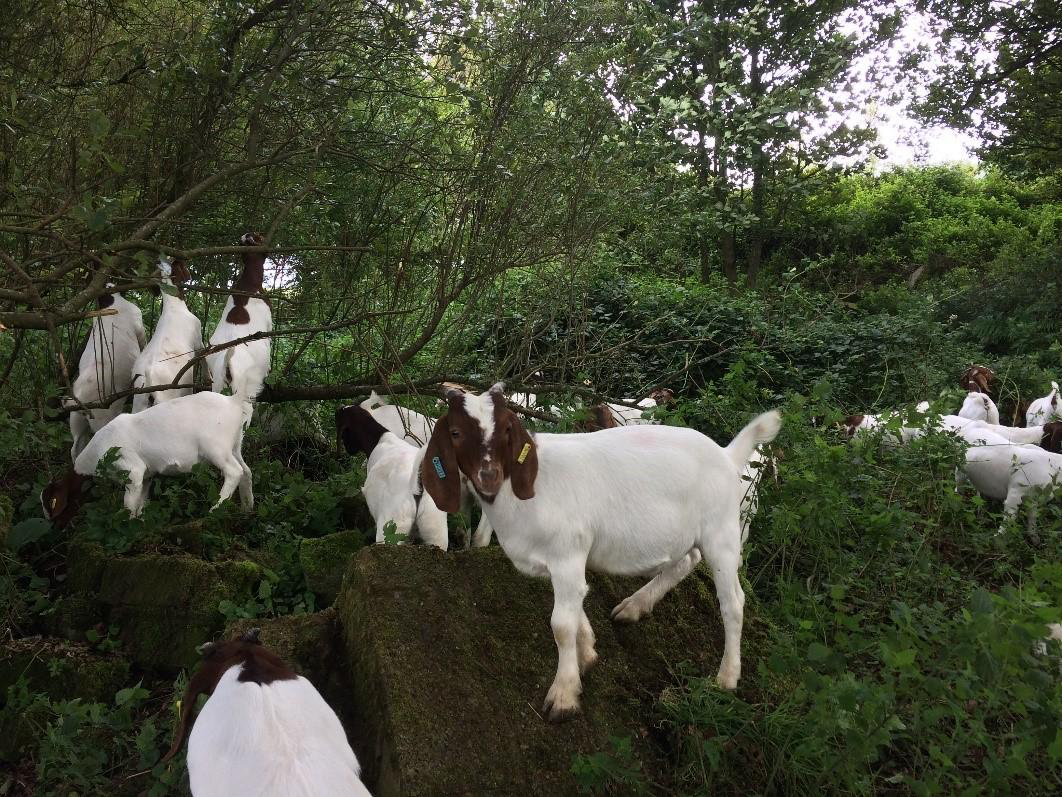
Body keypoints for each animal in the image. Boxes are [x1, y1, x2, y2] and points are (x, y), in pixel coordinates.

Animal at [42, 392, 253, 526]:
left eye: (56, 509)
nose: (56, 529)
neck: (97, 453)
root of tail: (233, 401)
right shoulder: (146, 477)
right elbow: (140, 504)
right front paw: (141, 523)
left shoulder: (132, 469)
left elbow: (129, 505)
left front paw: (128, 526)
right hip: (235, 445)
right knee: (246, 472)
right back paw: (247, 509)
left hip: (216, 448)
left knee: (235, 472)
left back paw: (214, 510)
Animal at [67, 288, 146, 460]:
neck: (112, 301)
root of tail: (81, 396)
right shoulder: (138, 322)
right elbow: (143, 339)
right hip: (101, 418)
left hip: (76, 419)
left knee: (75, 449)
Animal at [207, 233, 272, 411]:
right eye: (260, 237)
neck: (248, 285)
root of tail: (227, 364)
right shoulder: (269, 323)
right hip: (244, 387)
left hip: (216, 383)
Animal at [418, 383, 781, 720]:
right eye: (455, 432)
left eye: (508, 428)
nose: (489, 475)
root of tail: (727, 455)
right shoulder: (565, 561)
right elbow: (576, 606)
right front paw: (588, 653)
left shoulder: (567, 552)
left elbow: (561, 624)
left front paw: (564, 695)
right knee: (688, 560)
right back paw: (635, 606)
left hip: (723, 532)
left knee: (733, 602)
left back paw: (726, 677)